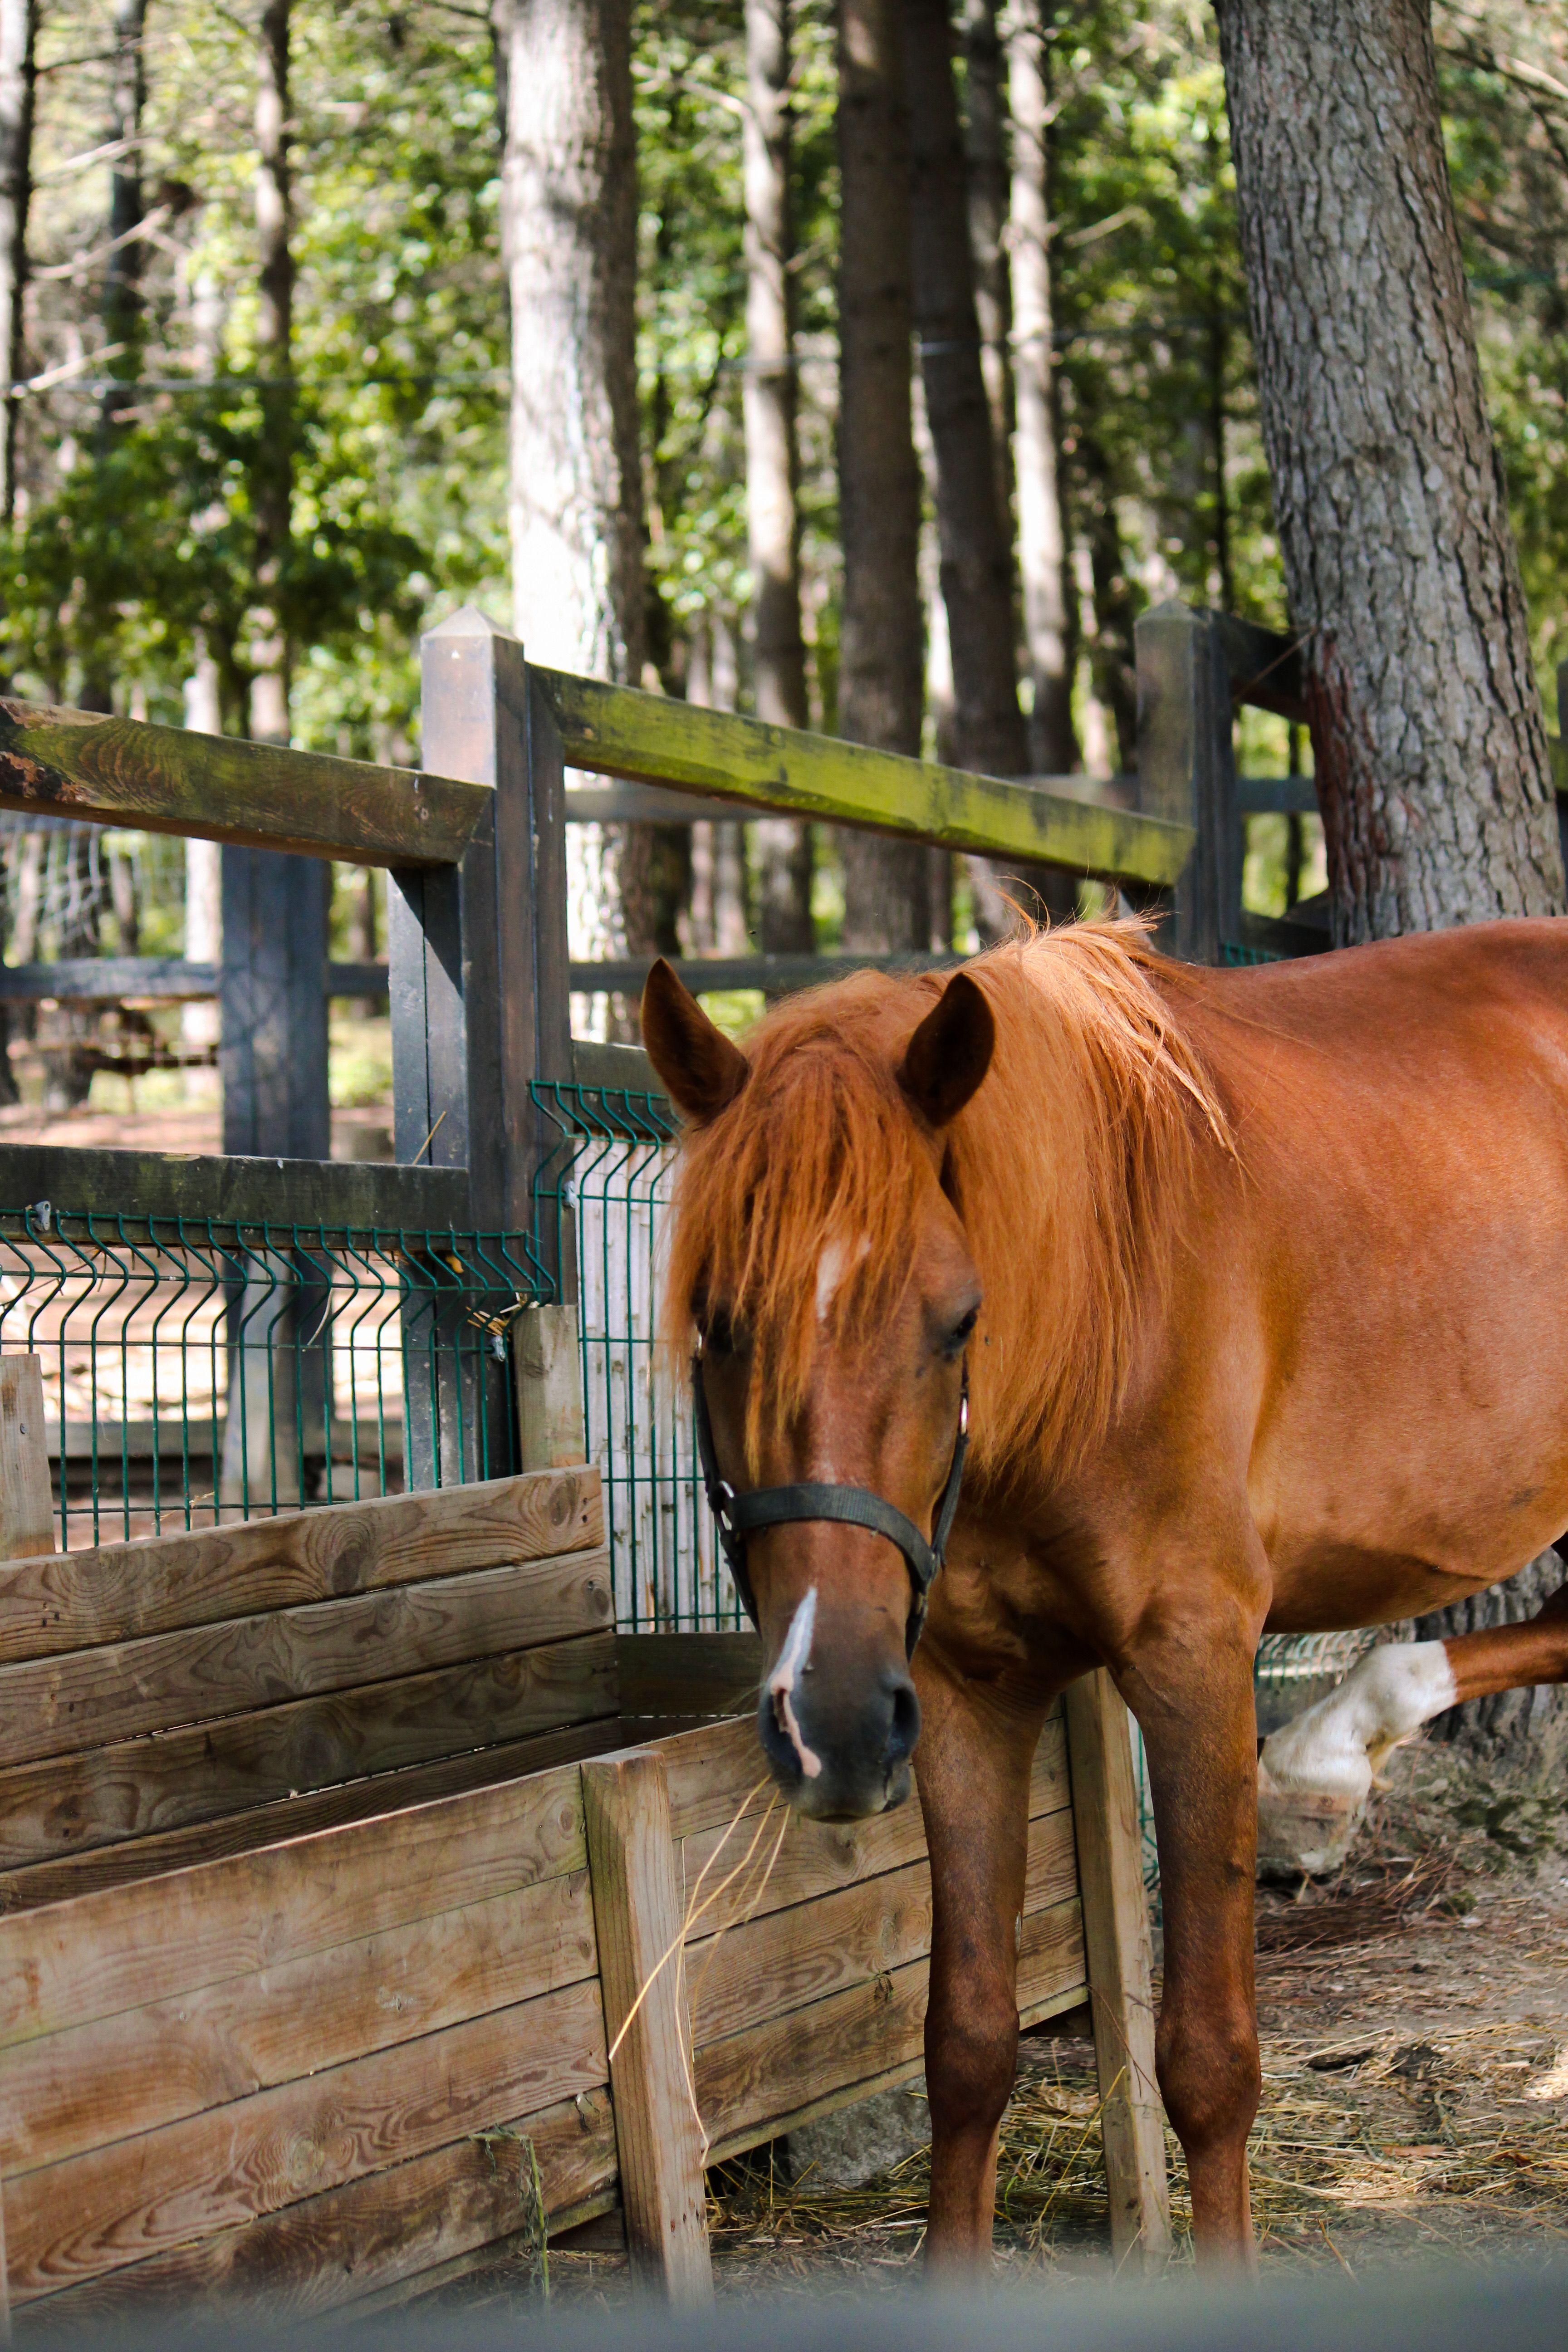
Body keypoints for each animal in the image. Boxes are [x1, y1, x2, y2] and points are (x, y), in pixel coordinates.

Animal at [639, 915, 1568, 2269]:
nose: (833, 1725)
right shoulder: (961, 1693)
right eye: (716, 1323)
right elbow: (967, 2047)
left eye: (955, 1318)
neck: (1100, 1317)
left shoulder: (1192, 1658)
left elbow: (1210, 2063)